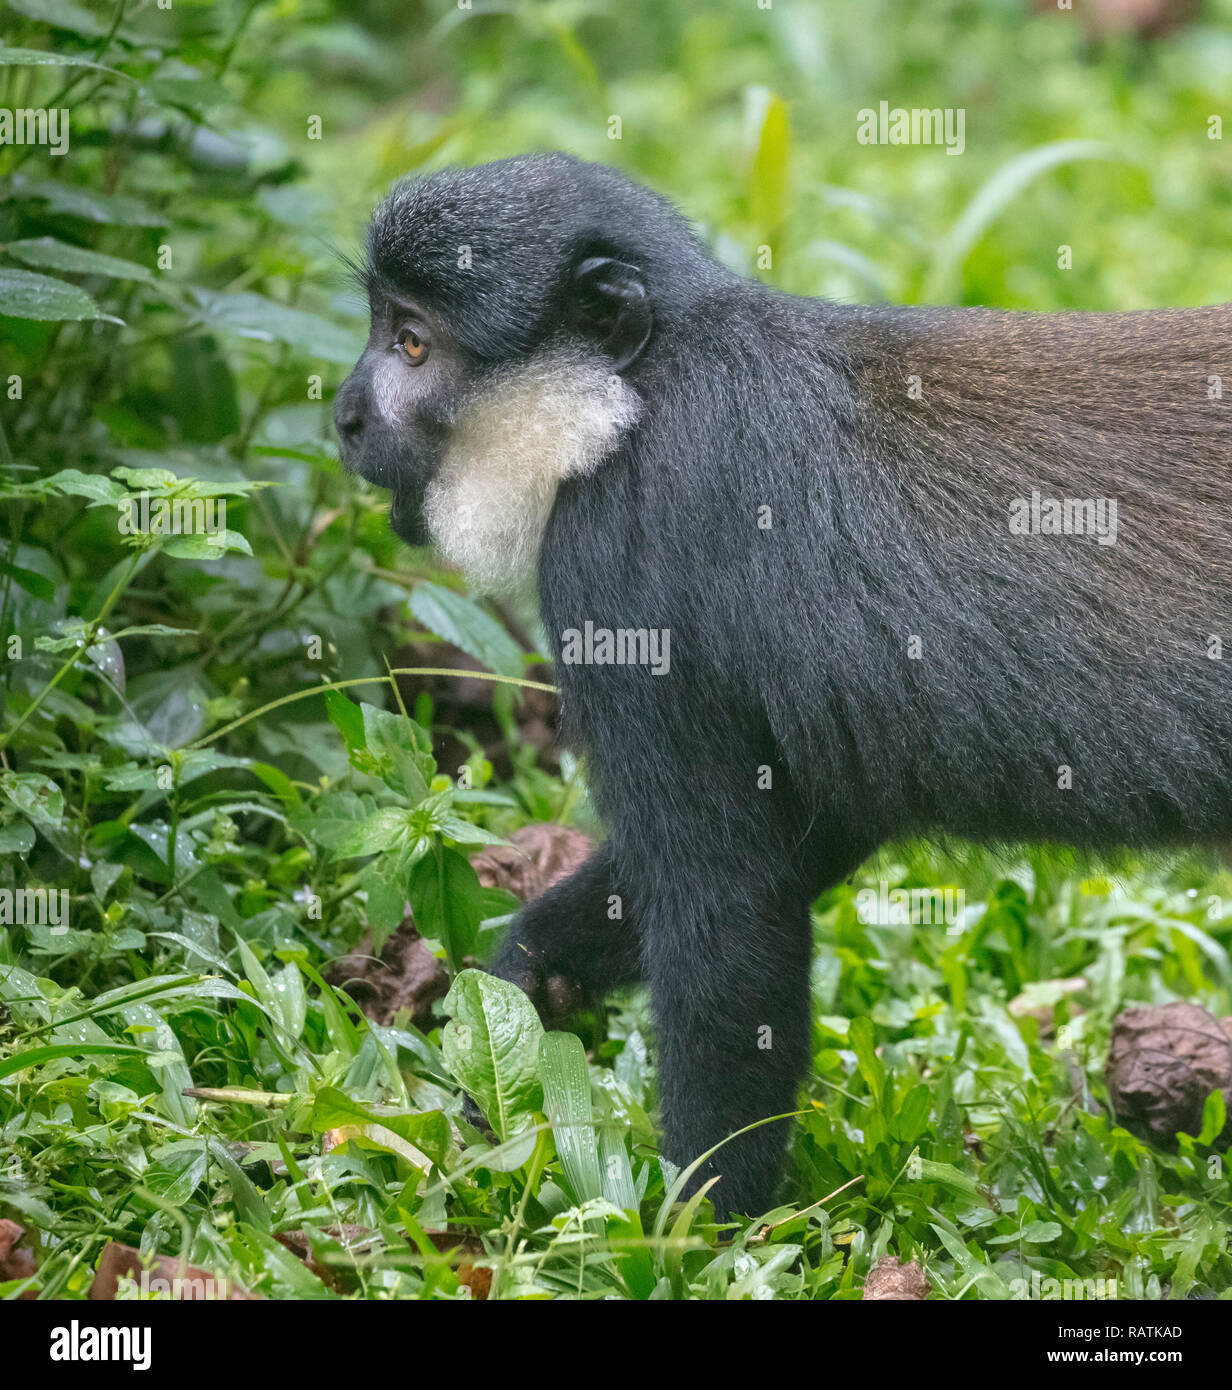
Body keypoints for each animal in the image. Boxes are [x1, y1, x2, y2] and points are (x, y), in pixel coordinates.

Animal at [334, 152, 1232, 1219]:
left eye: (412, 343)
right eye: (387, 328)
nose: (344, 415)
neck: (632, 397)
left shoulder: (615, 558)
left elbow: (726, 913)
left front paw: (696, 1224)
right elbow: (808, 826)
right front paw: (528, 988)